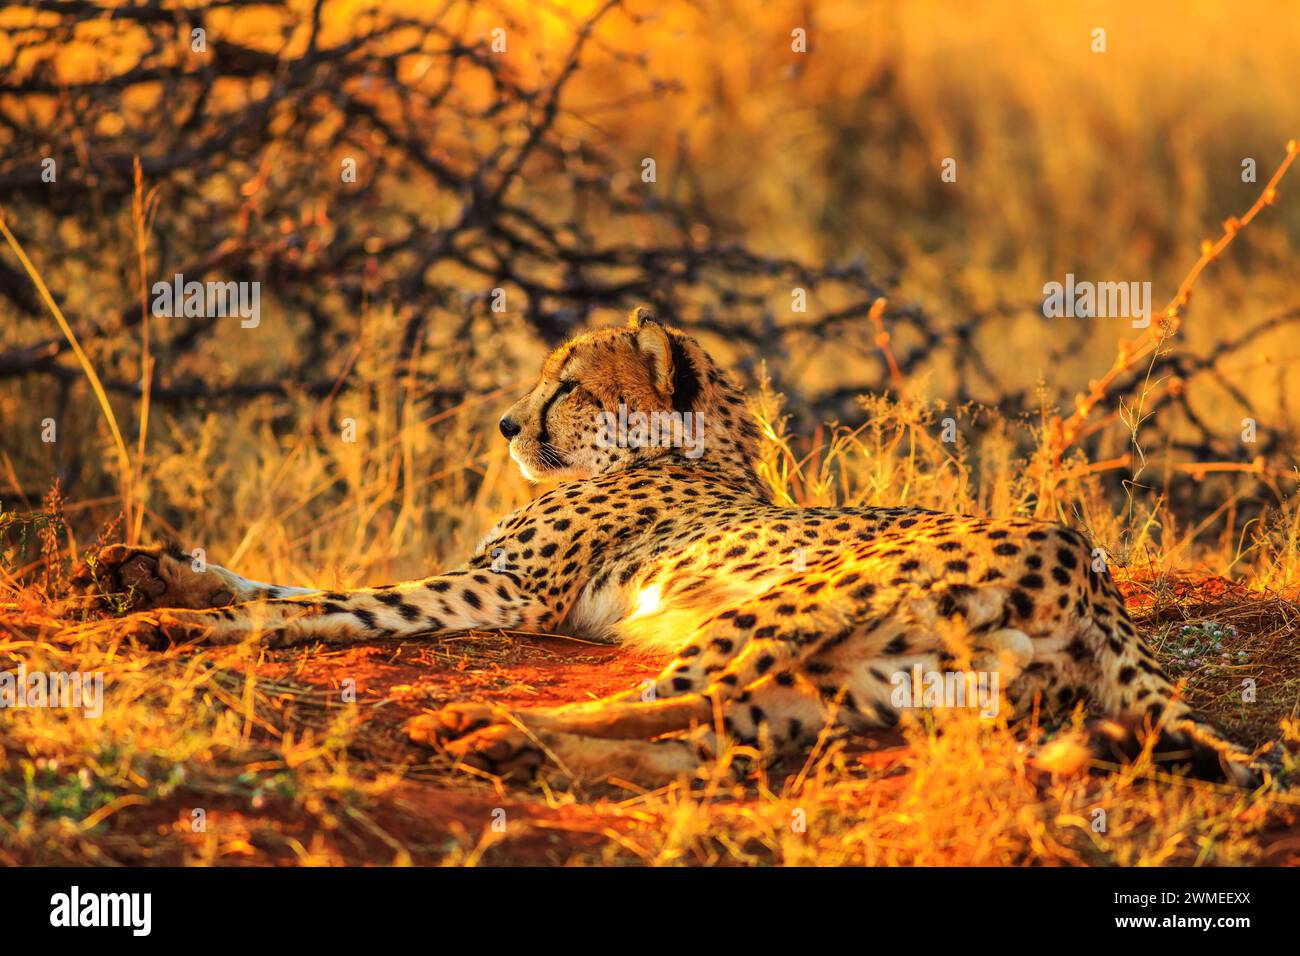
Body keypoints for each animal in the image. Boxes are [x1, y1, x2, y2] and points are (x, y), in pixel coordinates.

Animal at [75, 308, 1268, 788]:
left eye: (568, 385)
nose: (504, 425)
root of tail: (1086, 562)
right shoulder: (489, 581)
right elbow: (292, 578)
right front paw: (154, 572)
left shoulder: (503, 595)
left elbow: (325, 601)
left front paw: (173, 620)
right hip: (866, 679)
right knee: (710, 743)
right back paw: (517, 752)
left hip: (782, 612)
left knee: (668, 703)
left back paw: (488, 726)